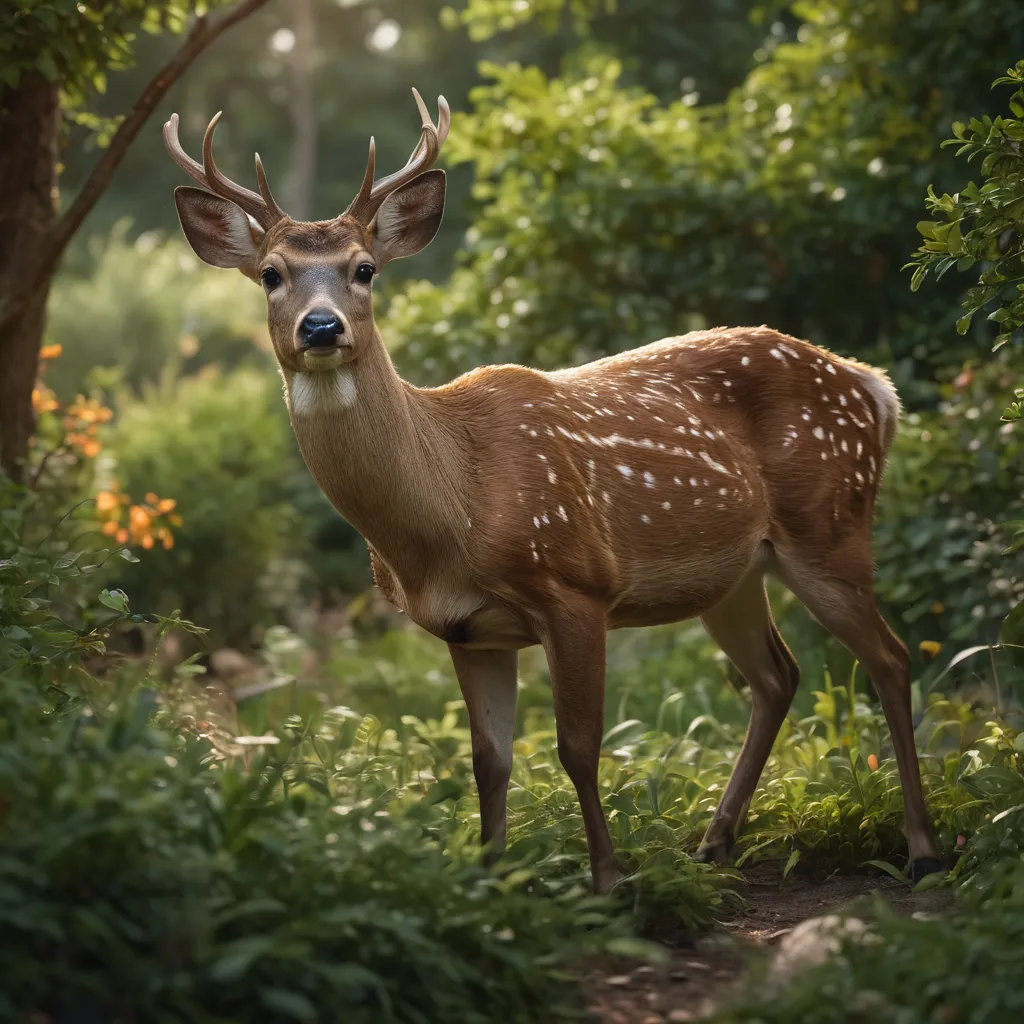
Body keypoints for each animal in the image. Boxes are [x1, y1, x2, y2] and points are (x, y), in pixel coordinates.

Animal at [163, 89, 944, 893]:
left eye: (365, 269)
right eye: (270, 274)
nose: (322, 328)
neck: (452, 511)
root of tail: (874, 388)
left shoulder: (576, 585)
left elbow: (577, 745)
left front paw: (607, 879)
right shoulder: (467, 628)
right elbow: (489, 760)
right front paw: (491, 878)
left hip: (830, 527)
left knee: (890, 660)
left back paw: (920, 847)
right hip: (734, 573)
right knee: (777, 676)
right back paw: (713, 843)